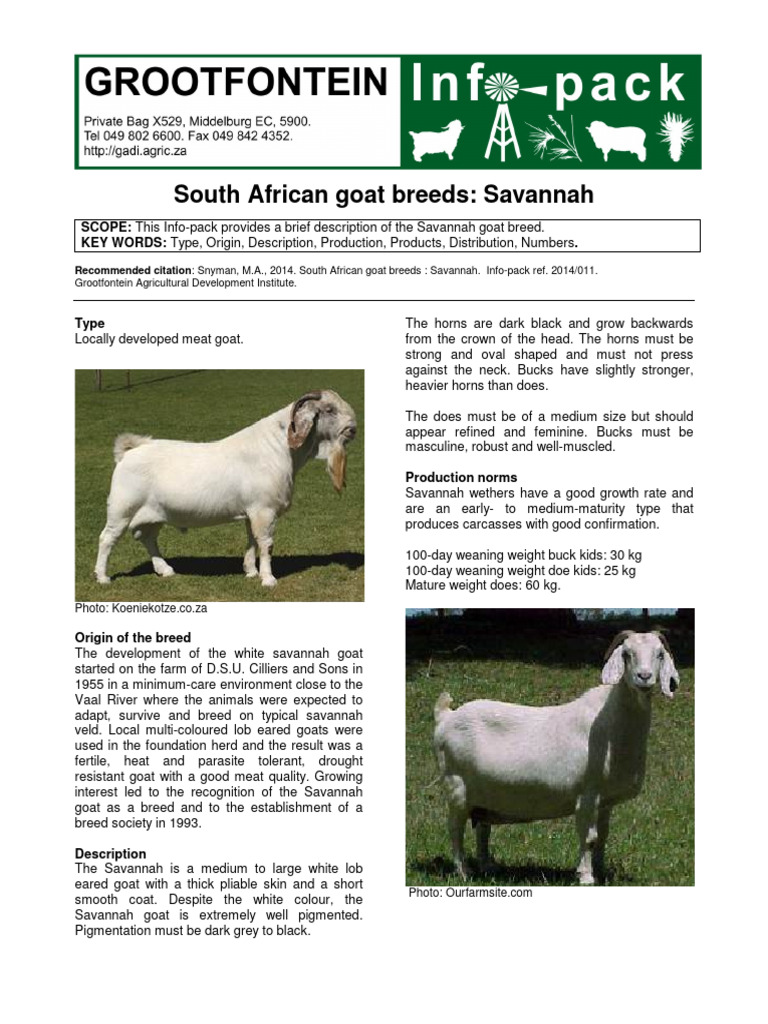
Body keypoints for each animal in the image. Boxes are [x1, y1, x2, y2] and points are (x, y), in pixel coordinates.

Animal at [94, 389, 357, 587]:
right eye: (330, 410)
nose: (353, 428)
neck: (278, 449)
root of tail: (129, 451)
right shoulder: (264, 510)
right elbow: (266, 543)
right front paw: (268, 578)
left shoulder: (251, 511)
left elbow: (251, 540)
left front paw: (250, 571)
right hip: (122, 508)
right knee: (107, 538)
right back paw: (102, 577)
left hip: (154, 514)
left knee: (148, 538)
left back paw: (165, 569)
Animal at [433, 631, 679, 884]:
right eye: (627, 654)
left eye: (660, 654)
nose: (644, 677)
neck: (612, 722)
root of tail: (445, 716)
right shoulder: (587, 795)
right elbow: (589, 838)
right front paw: (586, 876)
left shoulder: (605, 801)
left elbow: (603, 837)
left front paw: (600, 871)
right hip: (457, 785)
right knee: (455, 829)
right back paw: (463, 871)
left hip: (484, 795)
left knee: (482, 827)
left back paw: (488, 867)